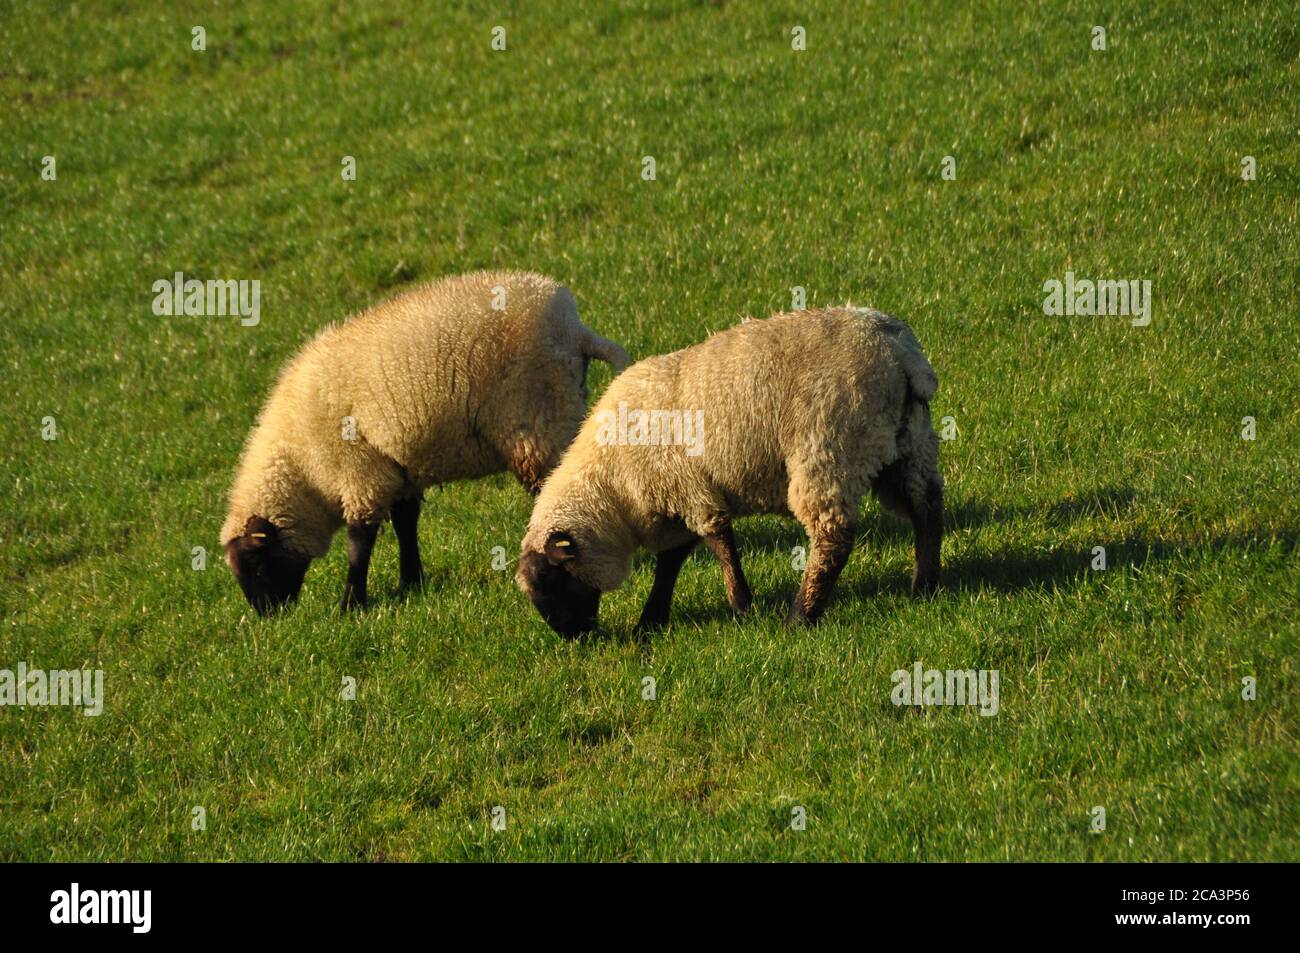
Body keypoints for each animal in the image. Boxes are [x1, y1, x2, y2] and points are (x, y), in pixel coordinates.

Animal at [221, 270, 629, 614]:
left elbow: (359, 543)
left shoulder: (359, 473)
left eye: (256, 563)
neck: (303, 466)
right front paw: (411, 582)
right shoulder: (397, 468)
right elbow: (406, 524)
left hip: (537, 419)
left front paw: (351, 604)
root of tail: (572, 327)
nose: (269, 616)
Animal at [515, 306, 942, 637]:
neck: (613, 488)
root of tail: (897, 347)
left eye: (550, 578)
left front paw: (742, 607)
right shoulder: (676, 501)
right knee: (928, 508)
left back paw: (800, 617)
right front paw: (650, 621)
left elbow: (720, 544)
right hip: (909, 443)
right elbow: (671, 563)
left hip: (827, 447)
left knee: (833, 539)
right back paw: (925, 586)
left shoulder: (691, 490)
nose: (574, 638)